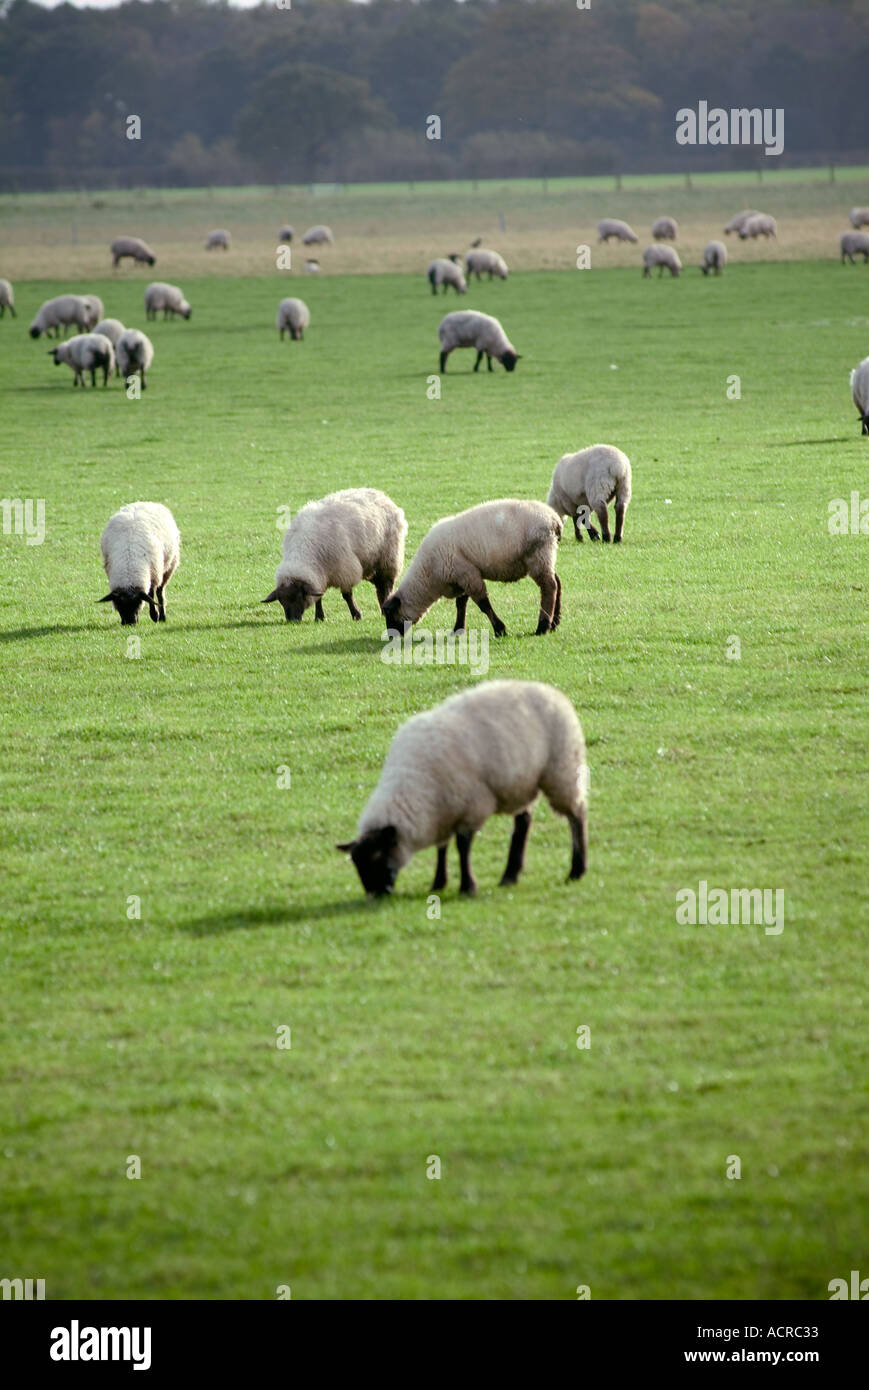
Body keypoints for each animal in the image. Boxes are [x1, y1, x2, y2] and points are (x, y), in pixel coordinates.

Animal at [261, 488, 407, 623]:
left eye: (299, 596)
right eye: (281, 601)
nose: (292, 620)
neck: (303, 551)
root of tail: (380, 494)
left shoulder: (345, 570)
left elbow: (347, 595)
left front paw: (356, 614)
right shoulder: (320, 574)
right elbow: (318, 597)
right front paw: (319, 617)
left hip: (388, 558)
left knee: (386, 586)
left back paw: (385, 610)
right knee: (380, 587)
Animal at [336, 680, 588, 898]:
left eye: (378, 856)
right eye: (357, 865)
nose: (376, 895)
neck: (413, 782)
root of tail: (551, 691)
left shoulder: (471, 806)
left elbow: (462, 846)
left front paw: (467, 886)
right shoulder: (442, 811)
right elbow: (442, 847)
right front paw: (438, 882)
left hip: (562, 770)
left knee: (576, 815)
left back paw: (577, 870)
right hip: (522, 782)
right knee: (523, 823)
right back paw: (510, 875)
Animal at [381, 499, 562, 638]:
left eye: (389, 615)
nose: (390, 637)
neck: (428, 576)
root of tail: (553, 519)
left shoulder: (467, 574)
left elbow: (483, 604)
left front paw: (500, 630)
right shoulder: (462, 577)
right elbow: (461, 604)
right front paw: (458, 629)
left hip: (538, 556)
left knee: (549, 587)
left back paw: (542, 627)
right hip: (545, 556)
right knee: (557, 582)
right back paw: (554, 622)